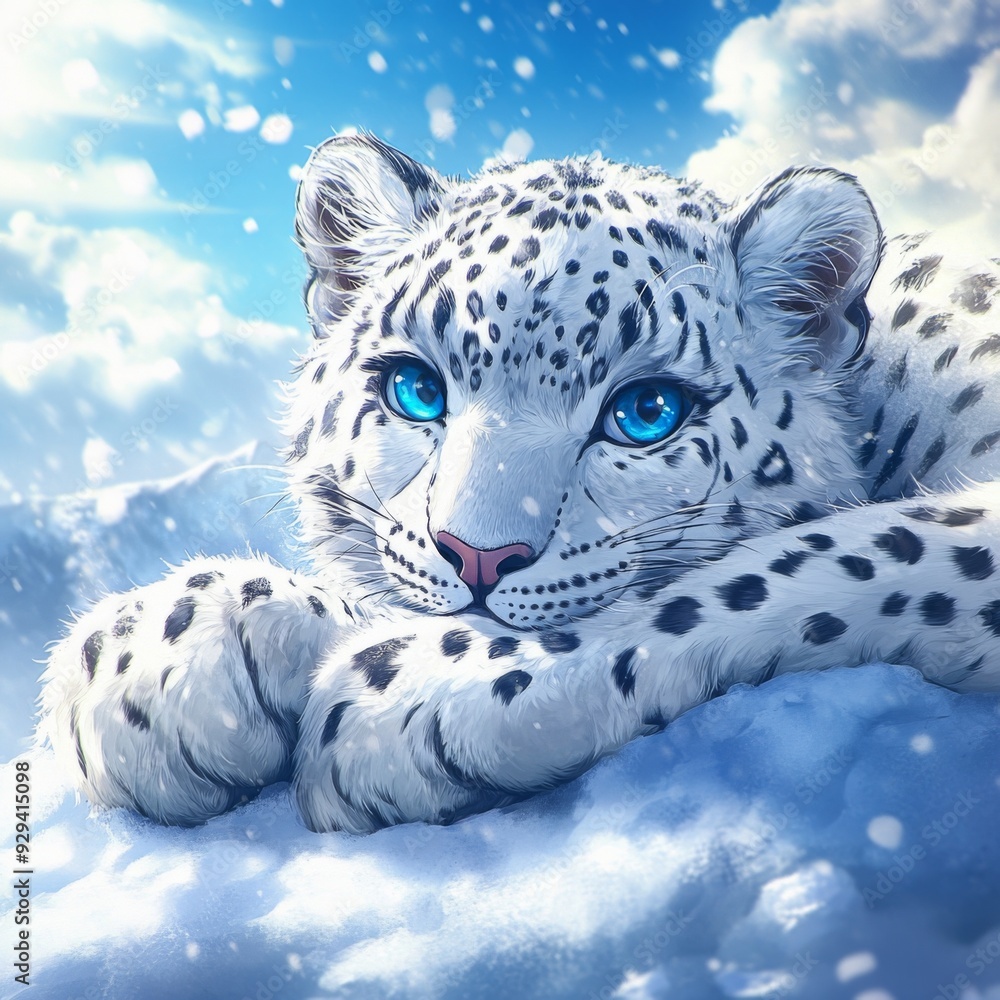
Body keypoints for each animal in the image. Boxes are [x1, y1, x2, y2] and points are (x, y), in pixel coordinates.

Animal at [38, 132, 1000, 835]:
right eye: (415, 387)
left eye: (647, 410)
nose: (477, 555)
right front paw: (166, 662)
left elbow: (824, 556)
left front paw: (400, 696)